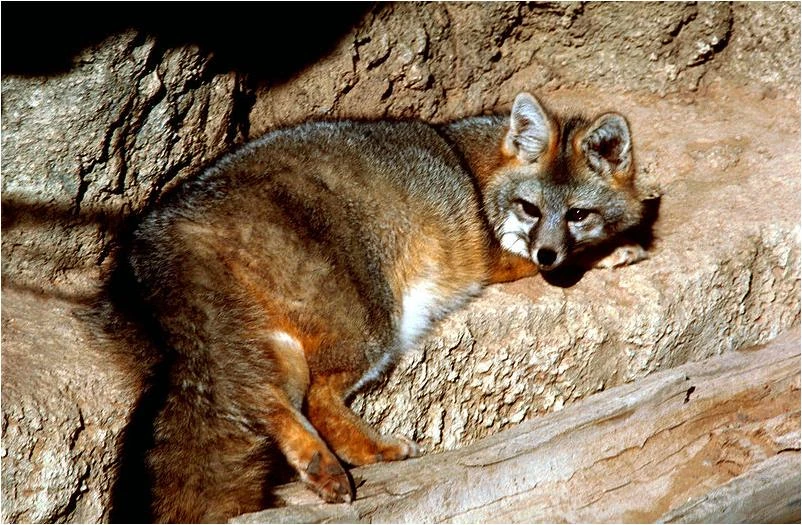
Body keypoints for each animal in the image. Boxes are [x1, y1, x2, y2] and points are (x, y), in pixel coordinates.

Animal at [117, 92, 646, 522]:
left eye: (577, 214)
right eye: (530, 209)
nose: (547, 253)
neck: (480, 168)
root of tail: (168, 220)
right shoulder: (498, 256)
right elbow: (562, 262)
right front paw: (615, 249)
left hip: (274, 347)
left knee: (268, 401)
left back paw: (320, 465)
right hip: (372, 326)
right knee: (314, 399)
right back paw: (370, 453)